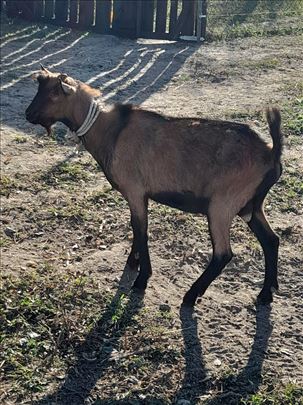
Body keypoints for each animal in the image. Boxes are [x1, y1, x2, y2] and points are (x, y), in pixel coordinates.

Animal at [25, 67, 284, 306]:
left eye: (54, 94)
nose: (28, 114)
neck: (111, 132)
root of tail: (271, 153)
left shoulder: (135, 191)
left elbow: (141, 230)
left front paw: (141, 278)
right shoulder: (140, 195)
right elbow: (137, 228)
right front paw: (133, 261)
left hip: (222, 205)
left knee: (223, 254)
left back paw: (191, 295)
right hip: (250, 206)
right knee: (271, 240)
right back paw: (266, 293)